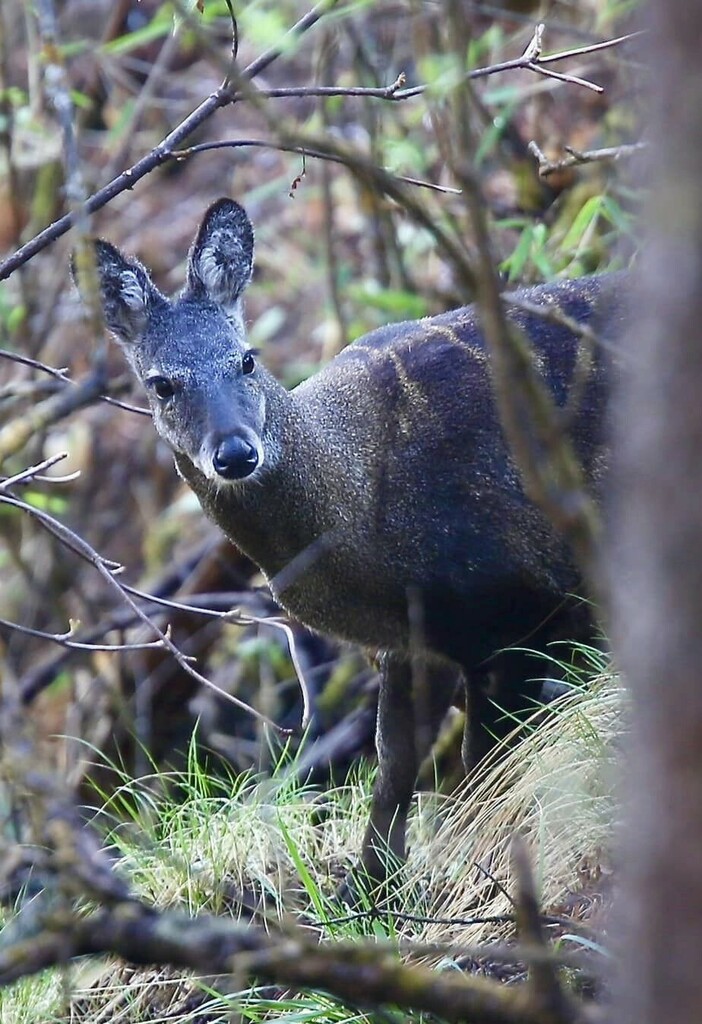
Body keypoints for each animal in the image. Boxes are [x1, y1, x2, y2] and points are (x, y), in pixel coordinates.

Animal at [88, 198, 622, 895]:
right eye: (160, 384)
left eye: (247, 359)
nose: (235, 453)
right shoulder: (413, 643)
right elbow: (395, 762)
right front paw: (366, 888)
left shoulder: (520, 608)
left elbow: (489, 765)